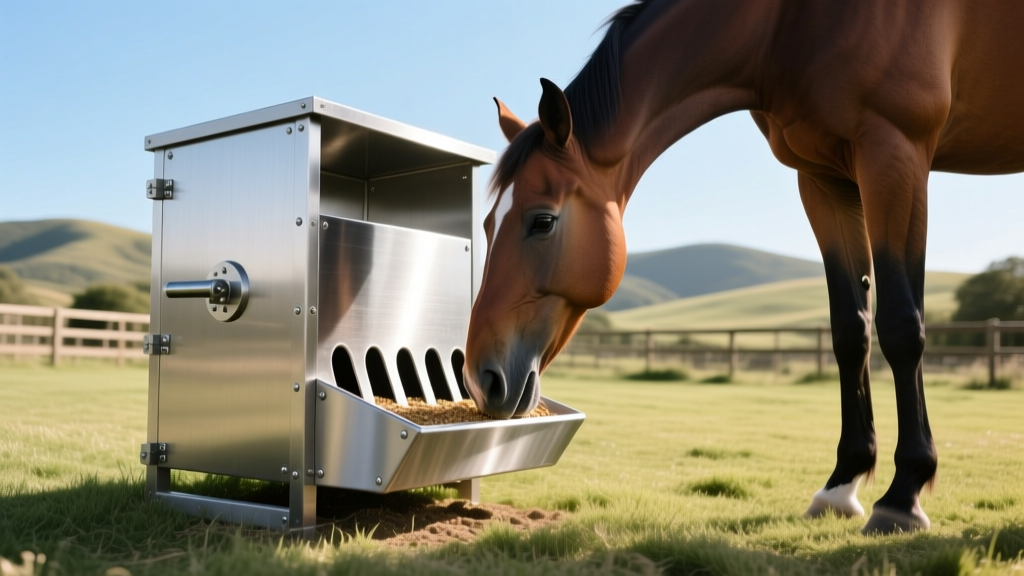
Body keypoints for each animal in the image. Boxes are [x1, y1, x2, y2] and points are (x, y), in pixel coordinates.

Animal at [463, 0, 1024, 534]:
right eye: (487, 223)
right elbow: (851, 332)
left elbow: (902, 328)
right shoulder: (823, 179)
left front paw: (903, 495)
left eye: (542, 221)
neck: (790, 24)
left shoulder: (896, 155)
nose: (480, 378)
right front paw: (841, 487)